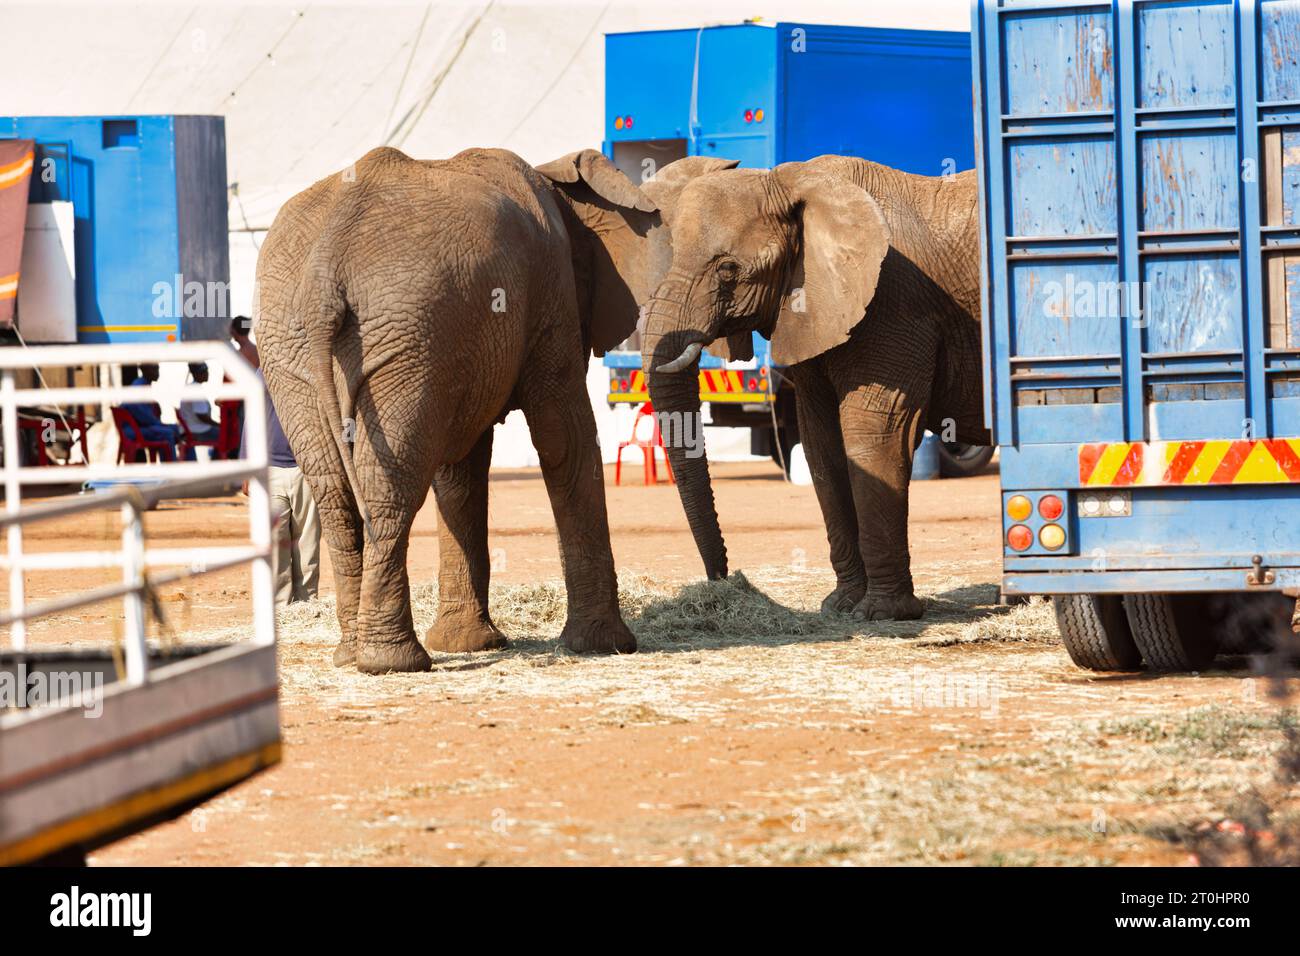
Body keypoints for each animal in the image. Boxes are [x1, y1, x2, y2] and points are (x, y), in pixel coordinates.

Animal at [254, 145, 732, 672]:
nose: (723, 580)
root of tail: (323, 273)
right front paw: (605, 645)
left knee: (336, 493)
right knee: (389, 488)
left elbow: (461, 468)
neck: (555, 179)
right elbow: (564, 435)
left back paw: (352, 655)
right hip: (398, 335)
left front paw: (470, 644)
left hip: (304, 346)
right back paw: (393, 661)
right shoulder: (550, 292)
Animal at [640, 154, 989, 622]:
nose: (724, 579)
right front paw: (840, 606)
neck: (793, 184)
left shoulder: (893, 303)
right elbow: (821, 443)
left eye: (728, 269)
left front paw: (881, 613)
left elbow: (874, 433)